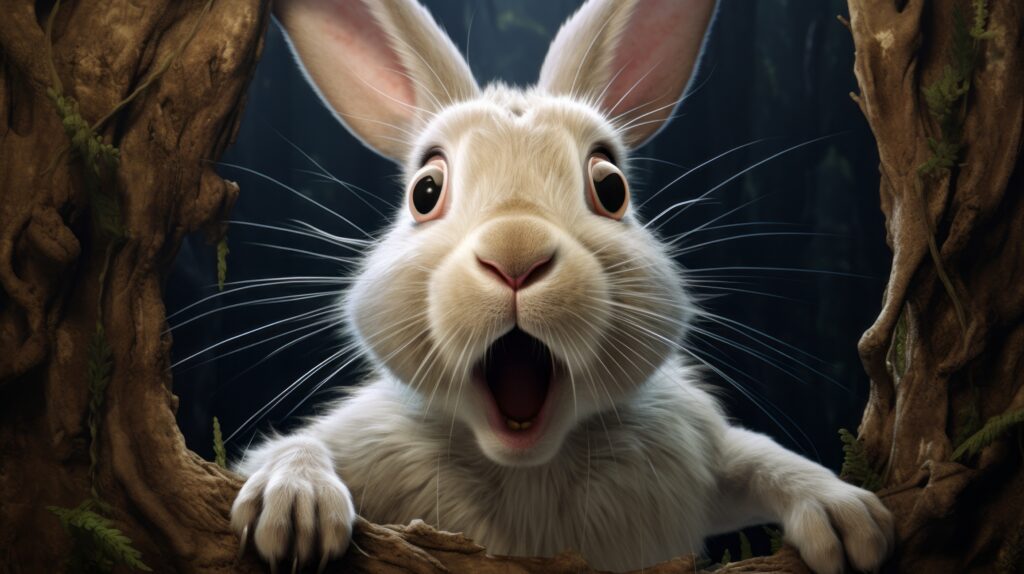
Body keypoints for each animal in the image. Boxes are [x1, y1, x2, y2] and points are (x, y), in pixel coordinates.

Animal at [230, 0, 895, 572]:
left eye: (611, 188)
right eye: (425, 191)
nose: (515, 253)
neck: (528, 466)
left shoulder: (698, 450)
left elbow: (759, 458)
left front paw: (847, 519)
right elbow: (291, 448)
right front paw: (295, 505)